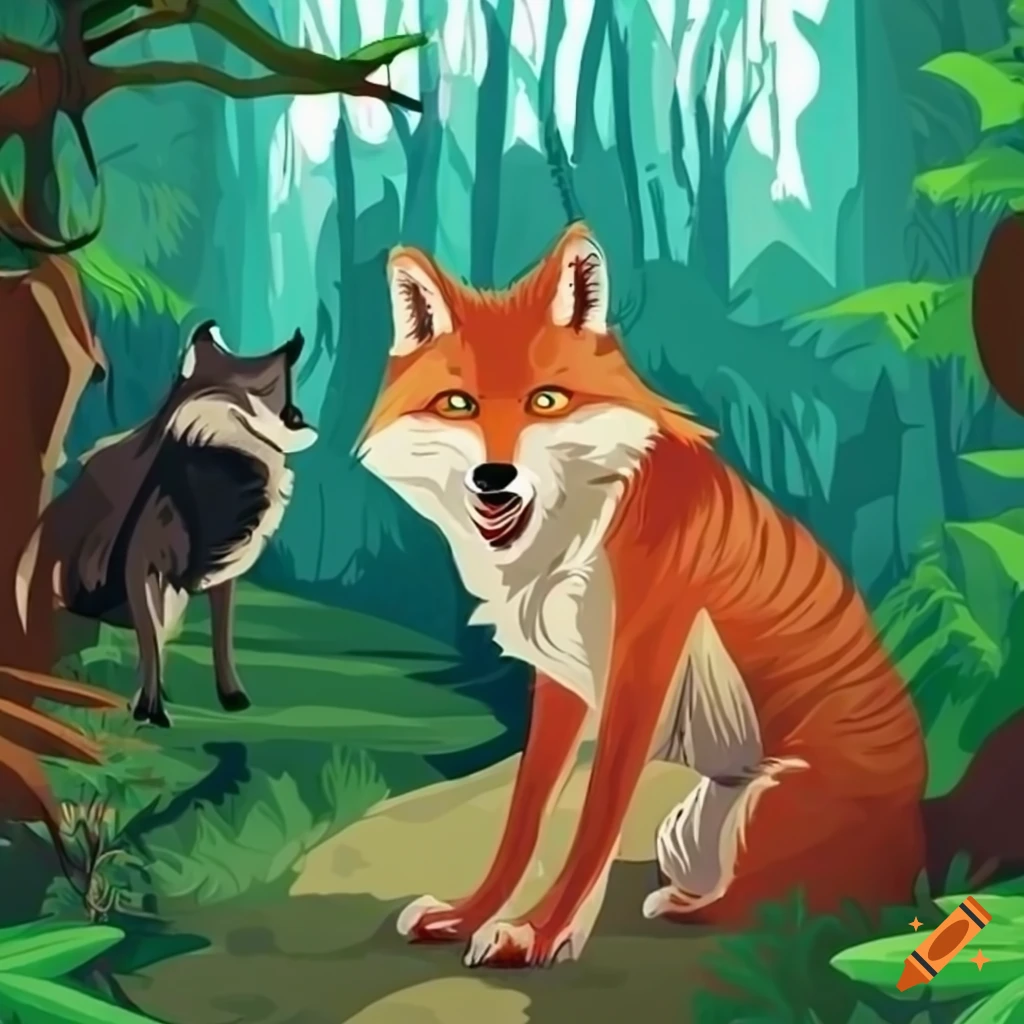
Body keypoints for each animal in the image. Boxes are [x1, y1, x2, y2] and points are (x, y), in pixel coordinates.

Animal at [16, 320, 318, 728]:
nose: (297, 334)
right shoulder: (141, 566)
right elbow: (151, 641)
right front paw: (151, 710)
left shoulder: (219, 577)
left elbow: (218, 639)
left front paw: (232, 698)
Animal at [358, 222, 1020, 970]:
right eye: (459, 405)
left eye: (545, 401)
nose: (493, 478)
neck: (581, 531)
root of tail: (922, 839)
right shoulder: (564, 680)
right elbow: (524, 821)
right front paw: (471, 916)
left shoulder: (640, 666)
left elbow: (595, 821)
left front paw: (539, 935)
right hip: (685, 832)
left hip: (762, 811)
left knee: (783, 912)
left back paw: (688, 909)